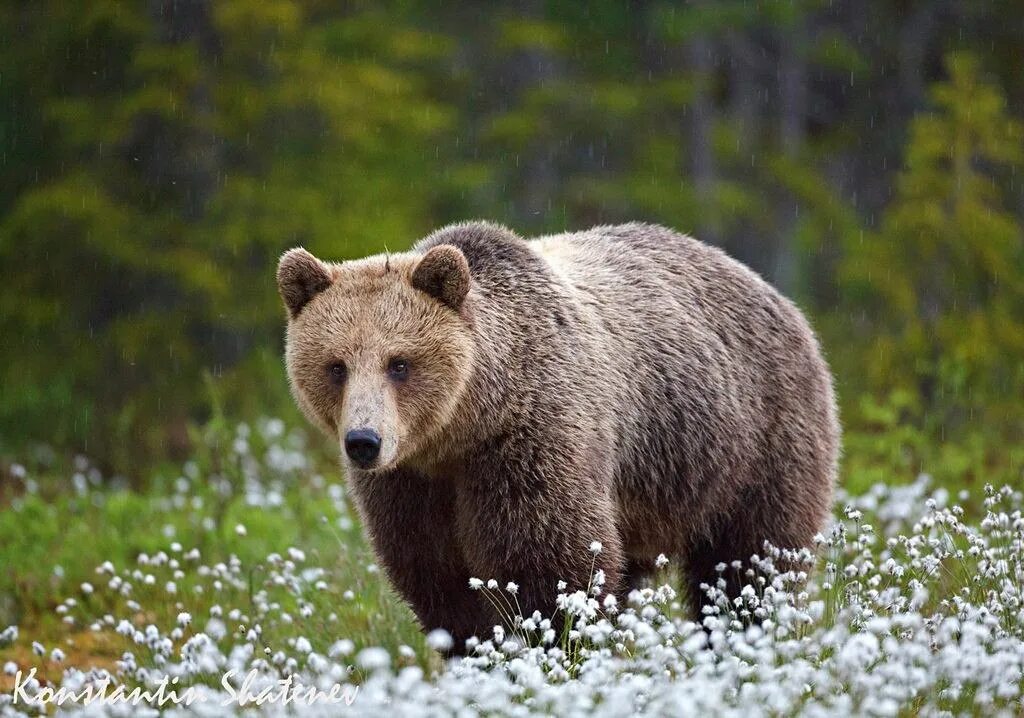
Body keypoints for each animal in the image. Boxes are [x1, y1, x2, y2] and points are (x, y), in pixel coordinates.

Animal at [276, 221, 835, 647]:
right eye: (336, 366)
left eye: (399, 363)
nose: (363, 442)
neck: (463, 431)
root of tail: (774, 293)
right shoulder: (409, 484)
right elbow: (437, 577)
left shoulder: (531, 440)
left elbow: (552, 565)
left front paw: (556, 649)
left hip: (753, 440)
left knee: (751, 560)